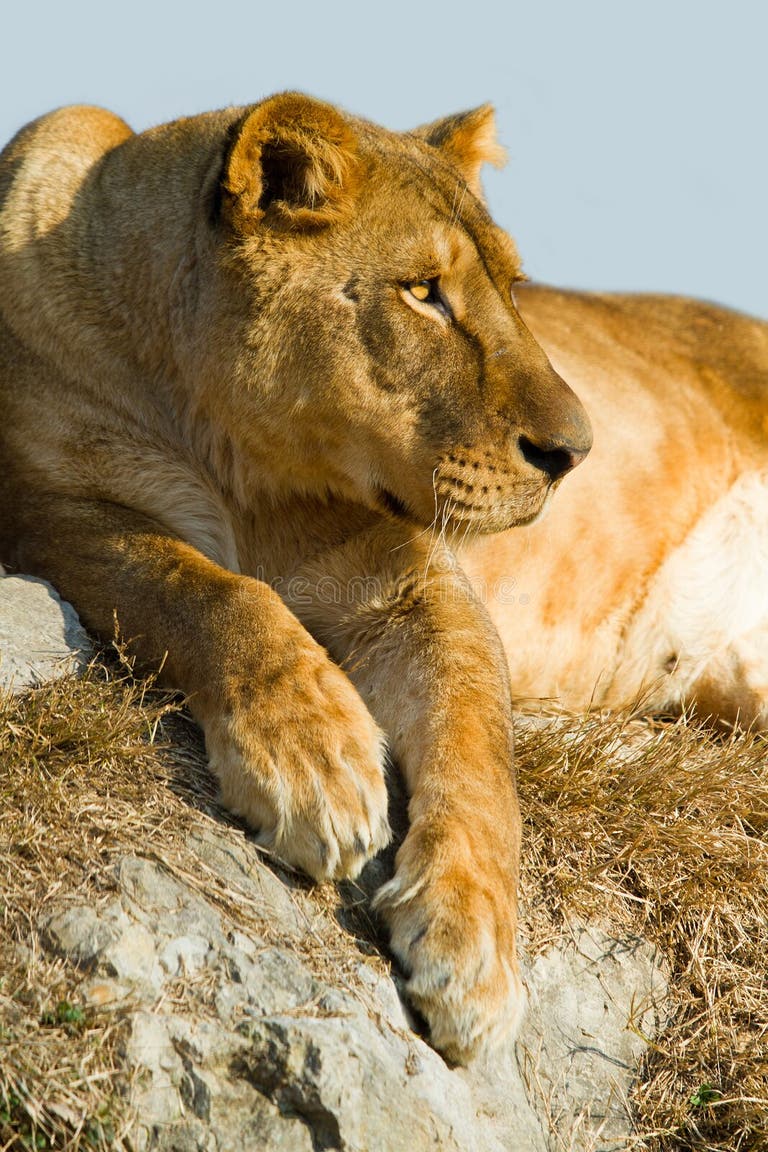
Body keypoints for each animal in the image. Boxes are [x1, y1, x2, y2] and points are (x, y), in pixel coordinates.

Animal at [0, 92, 764, 1066]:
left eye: (513, 286)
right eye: (422, 291)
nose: (576, 452)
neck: (245, 466)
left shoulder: (420, 587)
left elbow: (479, 752)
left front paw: (473, 952)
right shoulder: (46, 513)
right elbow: (206, 588)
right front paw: (313, 760)